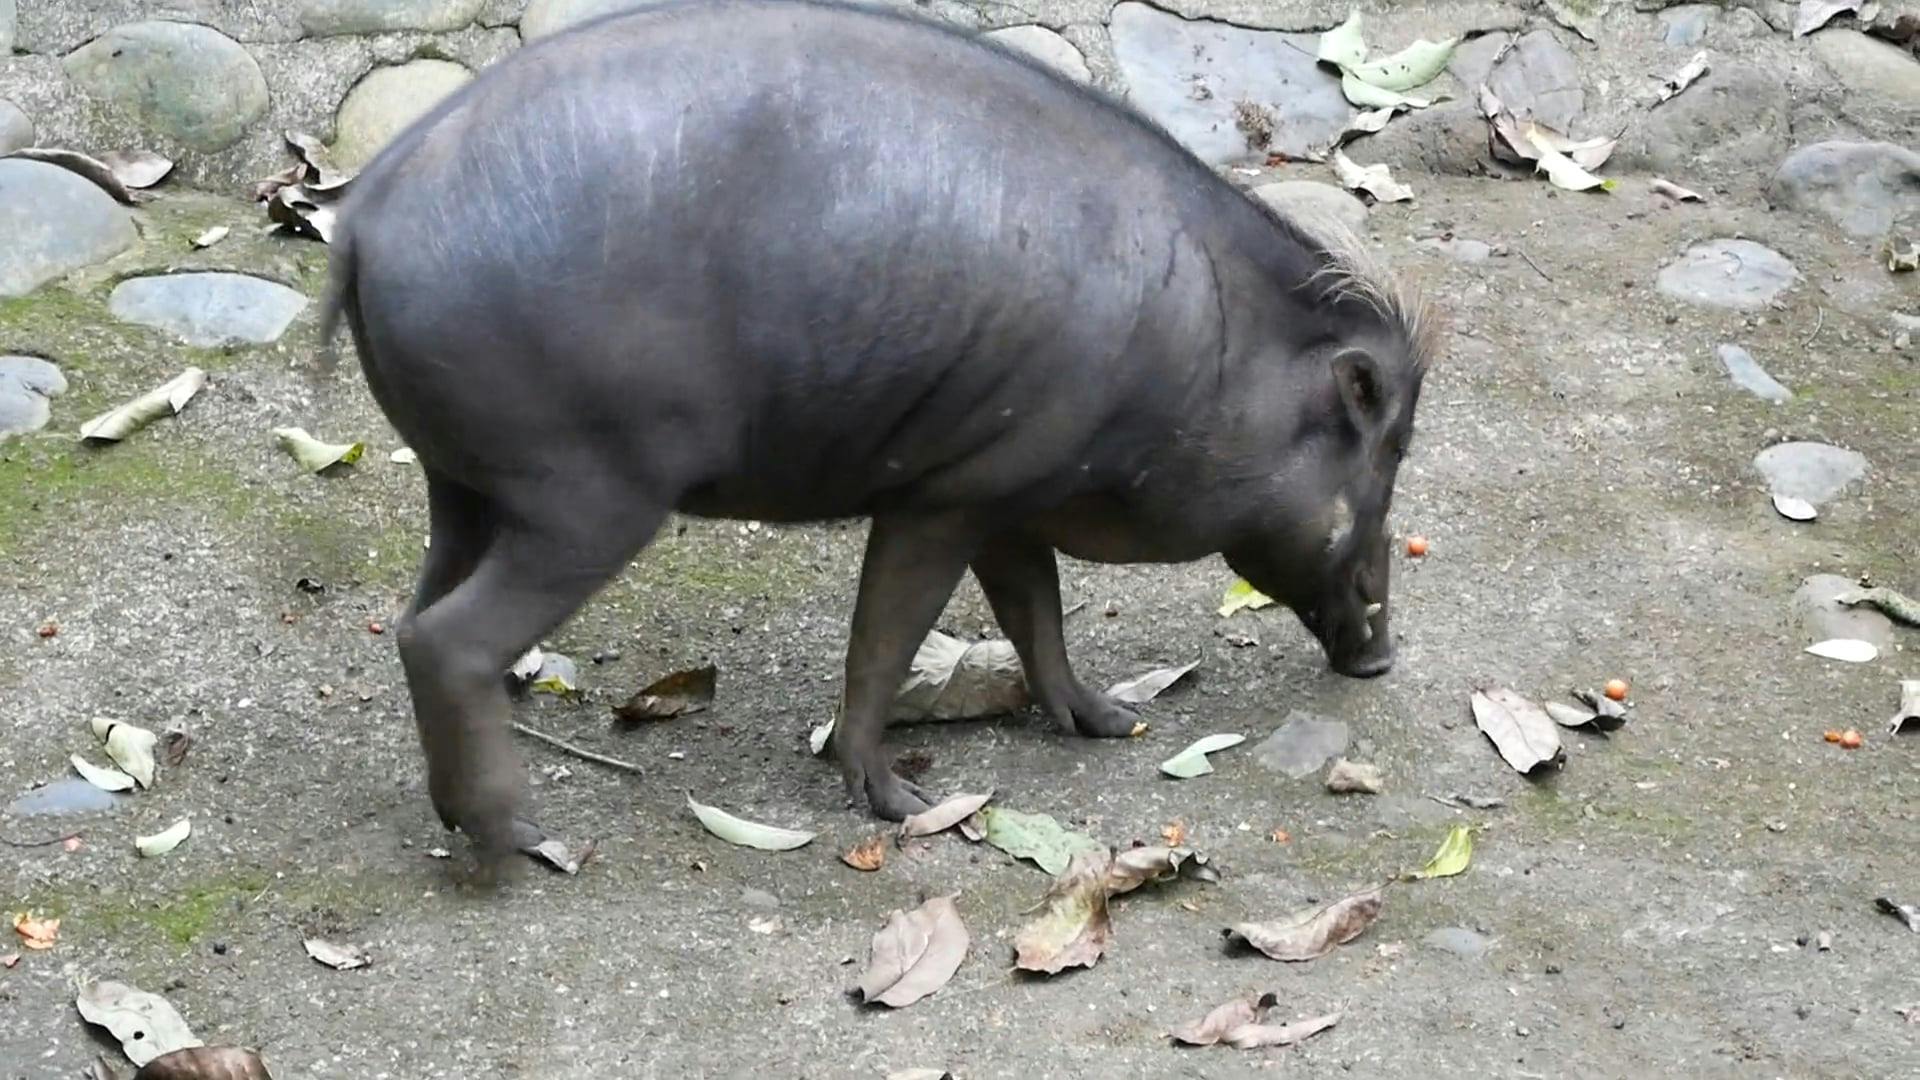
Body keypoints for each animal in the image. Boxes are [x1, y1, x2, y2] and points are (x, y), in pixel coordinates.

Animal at [318, 0, 1435, 866]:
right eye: (1379, 450)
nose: (1386, 660)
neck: (1211, 352)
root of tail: (365, 215)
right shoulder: (945, 496)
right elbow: (887, 638)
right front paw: (901, 804)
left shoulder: (1006, 492)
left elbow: (1038, 615)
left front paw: (1113, 724)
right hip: (584, 497)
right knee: (446, 639)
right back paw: (527, 841)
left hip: (464, 484)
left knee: (418, 615)